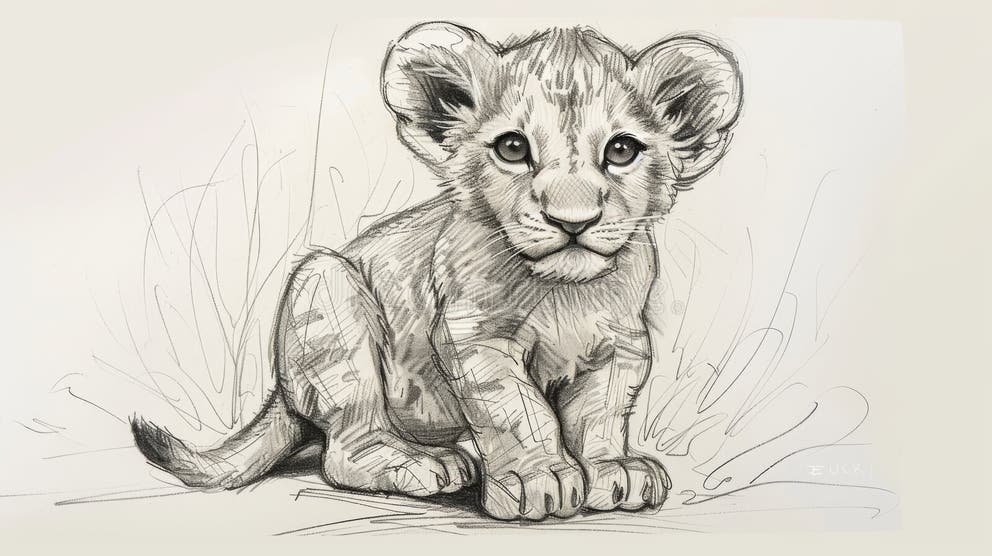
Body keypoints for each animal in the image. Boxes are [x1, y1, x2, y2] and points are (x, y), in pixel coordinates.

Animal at [131, 21, 743, 521]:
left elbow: (601, 411)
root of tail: (280, 393)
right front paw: (537, 479)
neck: (563, 291)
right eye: (513, 147)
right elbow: (516, 408)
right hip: (325, 290)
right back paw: (427, 464)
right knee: (346, 447)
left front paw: (613, 470)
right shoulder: (474, 337)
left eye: (621, 150)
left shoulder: (620, 345)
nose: (572, 220)